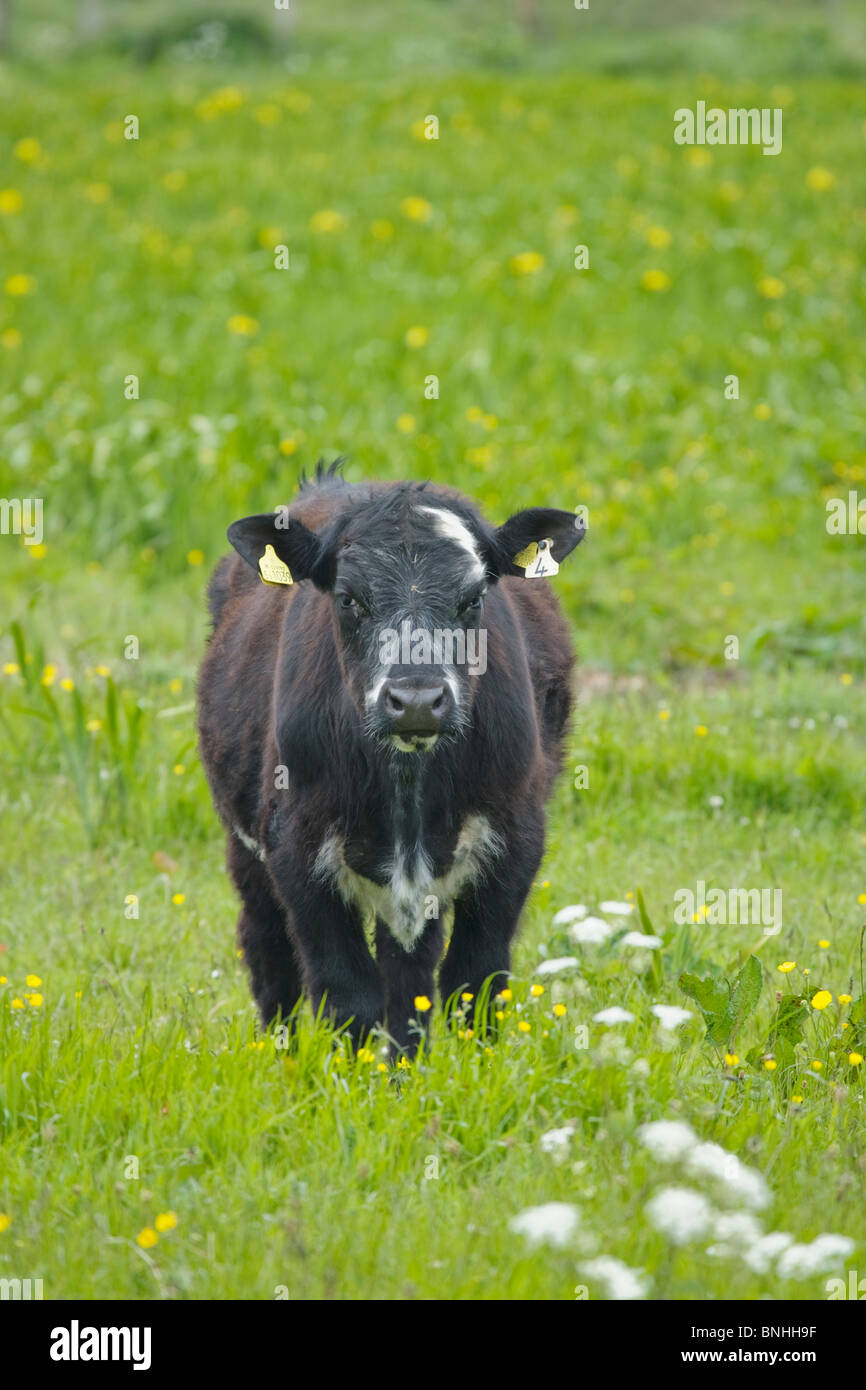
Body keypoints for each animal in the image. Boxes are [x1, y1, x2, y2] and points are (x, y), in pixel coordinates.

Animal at [197, 463, 585, 1056]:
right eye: (348, 599)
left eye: (473, 598)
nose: (417, 699)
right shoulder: (295, 847)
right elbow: (346, 993)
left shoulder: (517, 838)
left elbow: (475, 980)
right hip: (244, 847)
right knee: (269, 953)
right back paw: (280, 1053)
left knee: (411, 973)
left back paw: (407, 1061)